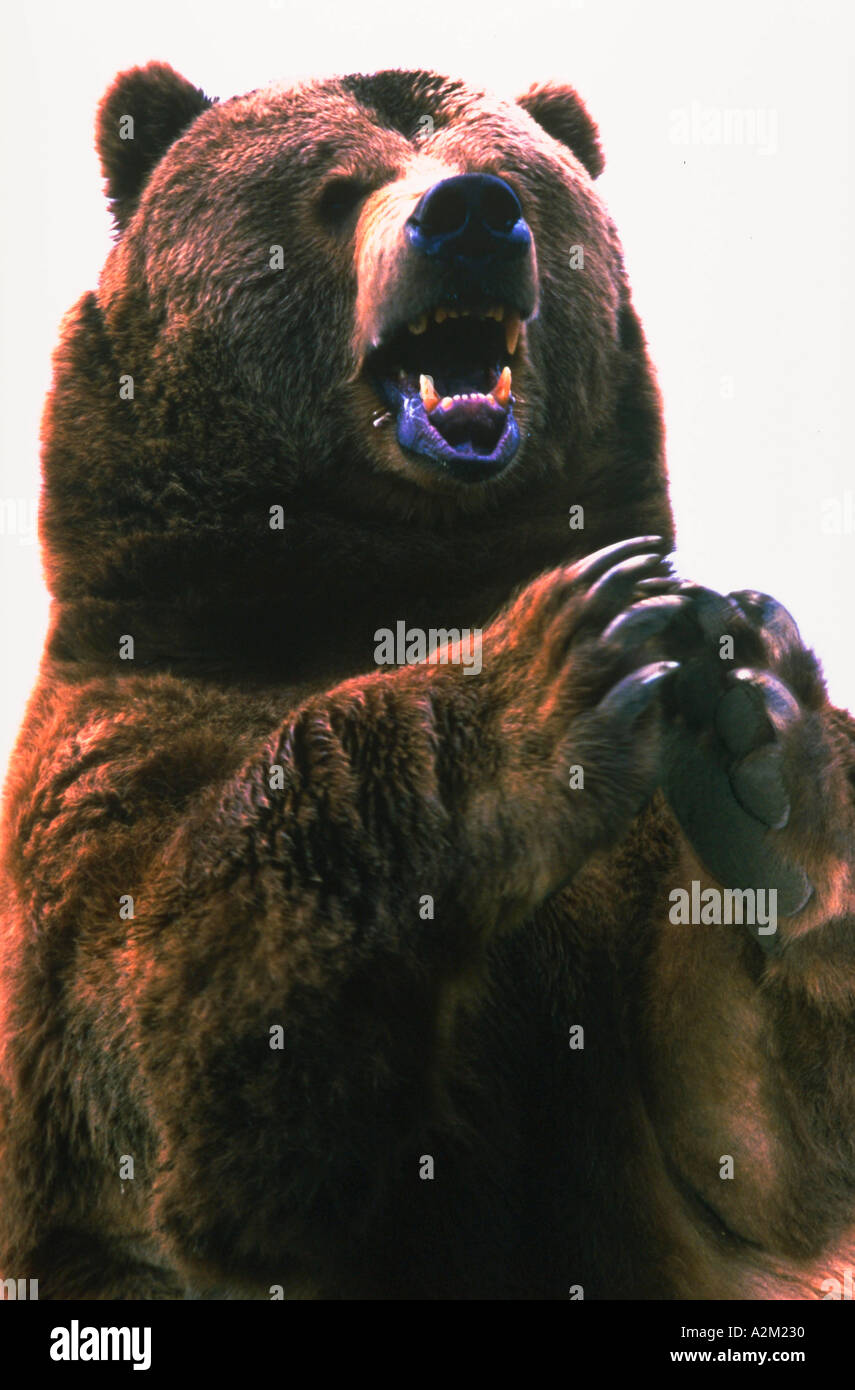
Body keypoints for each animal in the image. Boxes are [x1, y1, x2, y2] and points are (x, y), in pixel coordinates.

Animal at [0, 61, 853, 1301]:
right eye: (336, 186)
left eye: (522, 186)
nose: (470, 218)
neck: (385, 576)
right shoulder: (106, 762)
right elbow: (173, 1038)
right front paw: (549, 667)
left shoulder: (629, 935)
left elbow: (748, 1127)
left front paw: (765, 729)